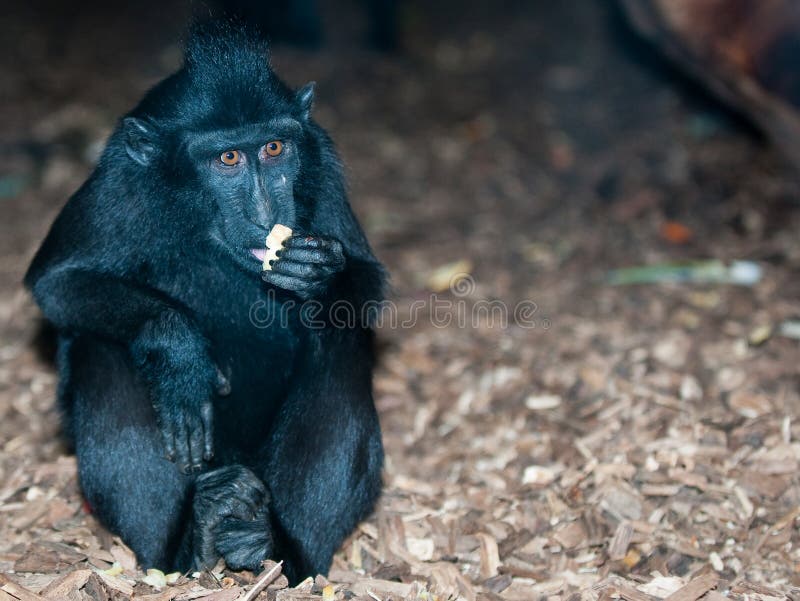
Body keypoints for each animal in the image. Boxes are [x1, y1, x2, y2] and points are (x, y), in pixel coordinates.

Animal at [24, 21, 386, 584]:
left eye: (275, 147)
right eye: (228, 158)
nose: (265, 211)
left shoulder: (321, 161)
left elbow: (366, 289)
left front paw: (320, 277)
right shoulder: (121, 179)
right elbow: (59, 282)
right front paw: (180, 353)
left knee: (338, 340)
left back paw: (278, 548)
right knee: (98, 343)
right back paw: (187, 544)